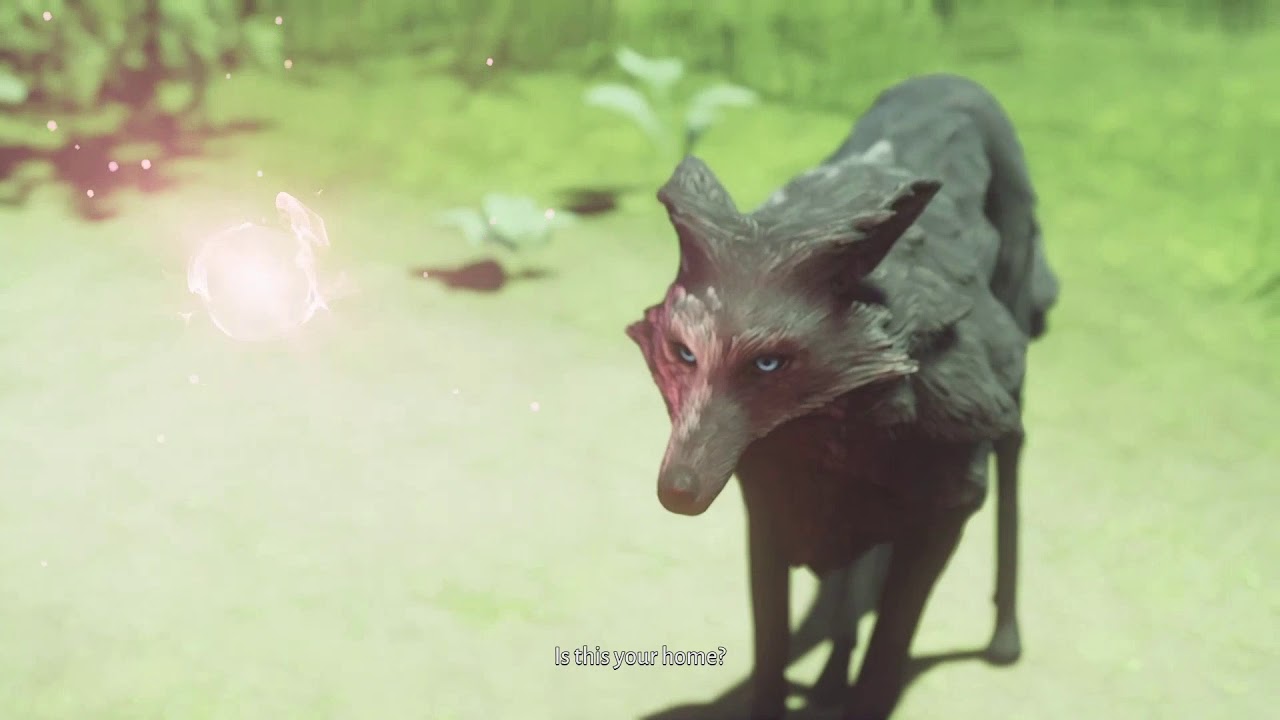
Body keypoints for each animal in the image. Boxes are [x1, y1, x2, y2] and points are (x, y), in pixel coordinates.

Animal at [625, 74, 1059, 720]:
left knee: (1015, 446)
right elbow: (772, 655)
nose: (677, 489)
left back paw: (1005, 639)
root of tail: (949, 80)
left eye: (768, 362)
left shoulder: (947, 509)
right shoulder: (770, 506)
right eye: (684, 353)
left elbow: (882, 666)